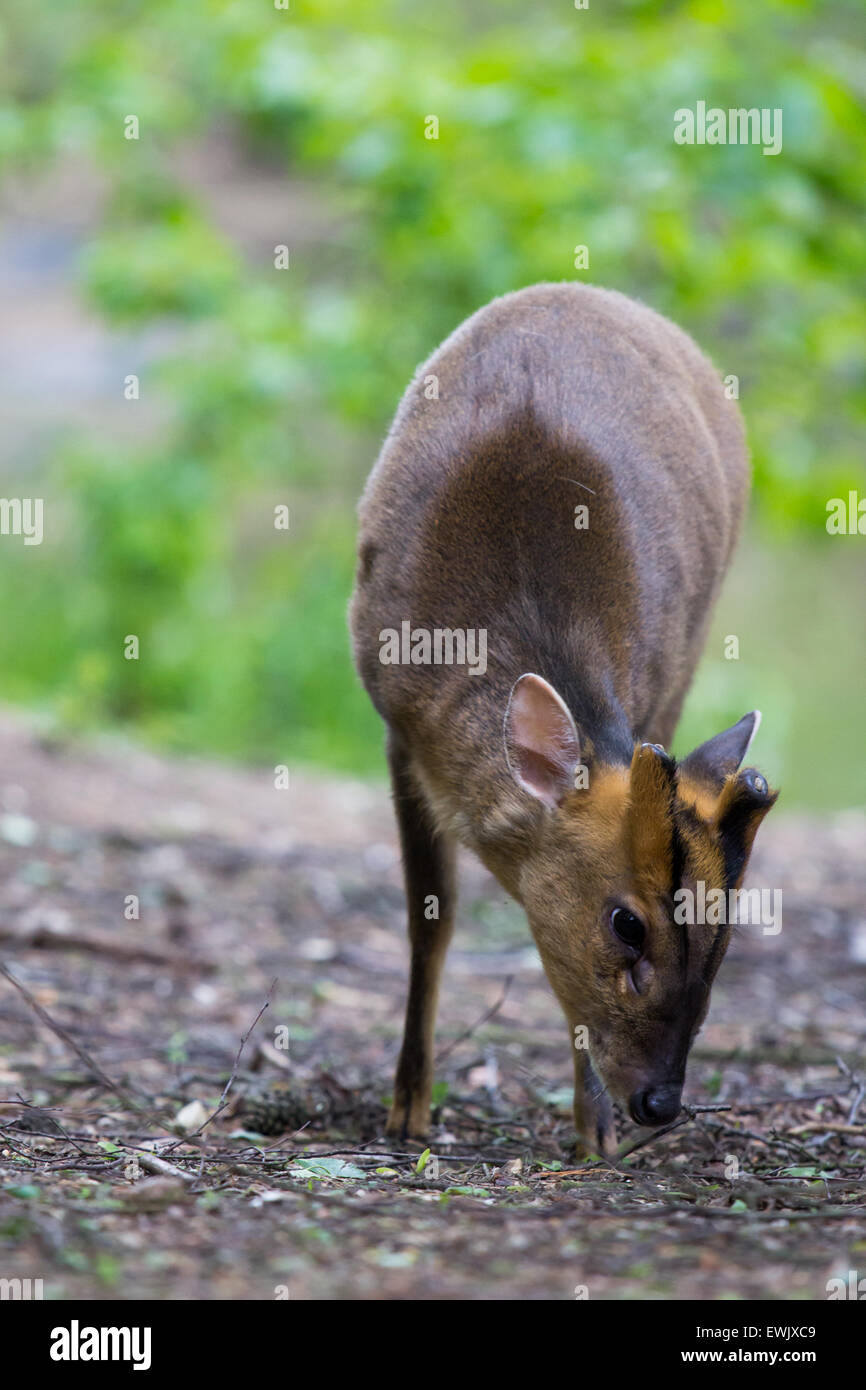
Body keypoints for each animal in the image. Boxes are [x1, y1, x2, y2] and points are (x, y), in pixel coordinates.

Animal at [349, 282, 777, 1155]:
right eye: (627, 924)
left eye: (724, 935)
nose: (659, 1102)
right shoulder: (399, 729)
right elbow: (428, 922)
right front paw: (408, 1112)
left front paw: (593, 1136)